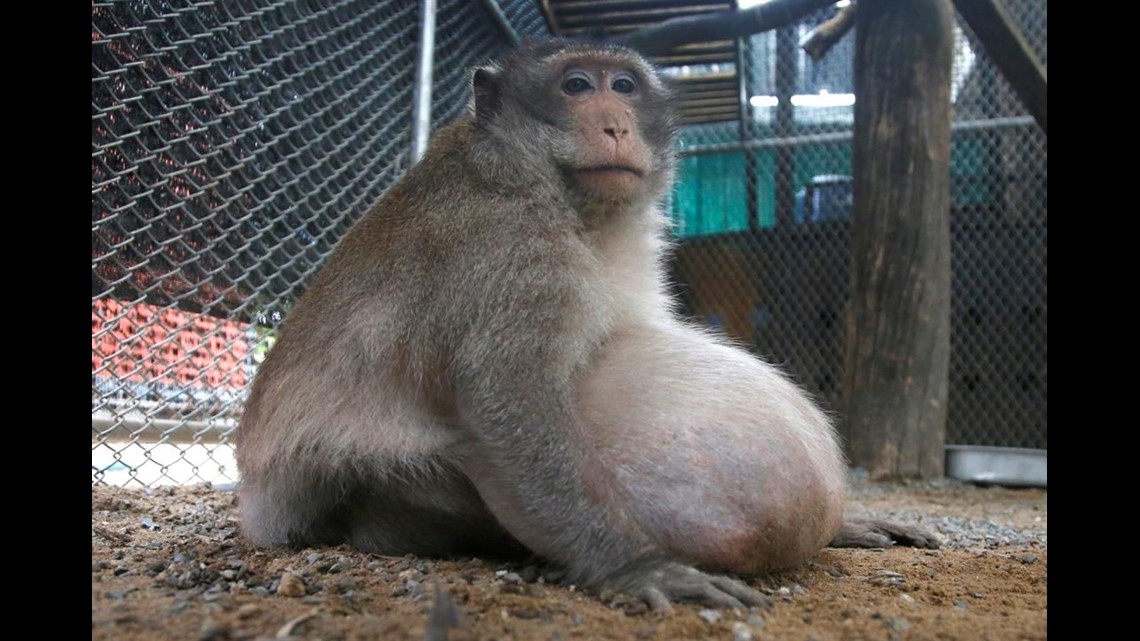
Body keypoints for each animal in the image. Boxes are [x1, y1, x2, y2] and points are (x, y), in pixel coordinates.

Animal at [235, 37, 939, 612]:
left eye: (622, 86)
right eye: (576, 86)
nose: (613, 123)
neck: (554, 195)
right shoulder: (508, 252)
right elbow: (504, 400)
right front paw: (633, 568)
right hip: (357, 489)